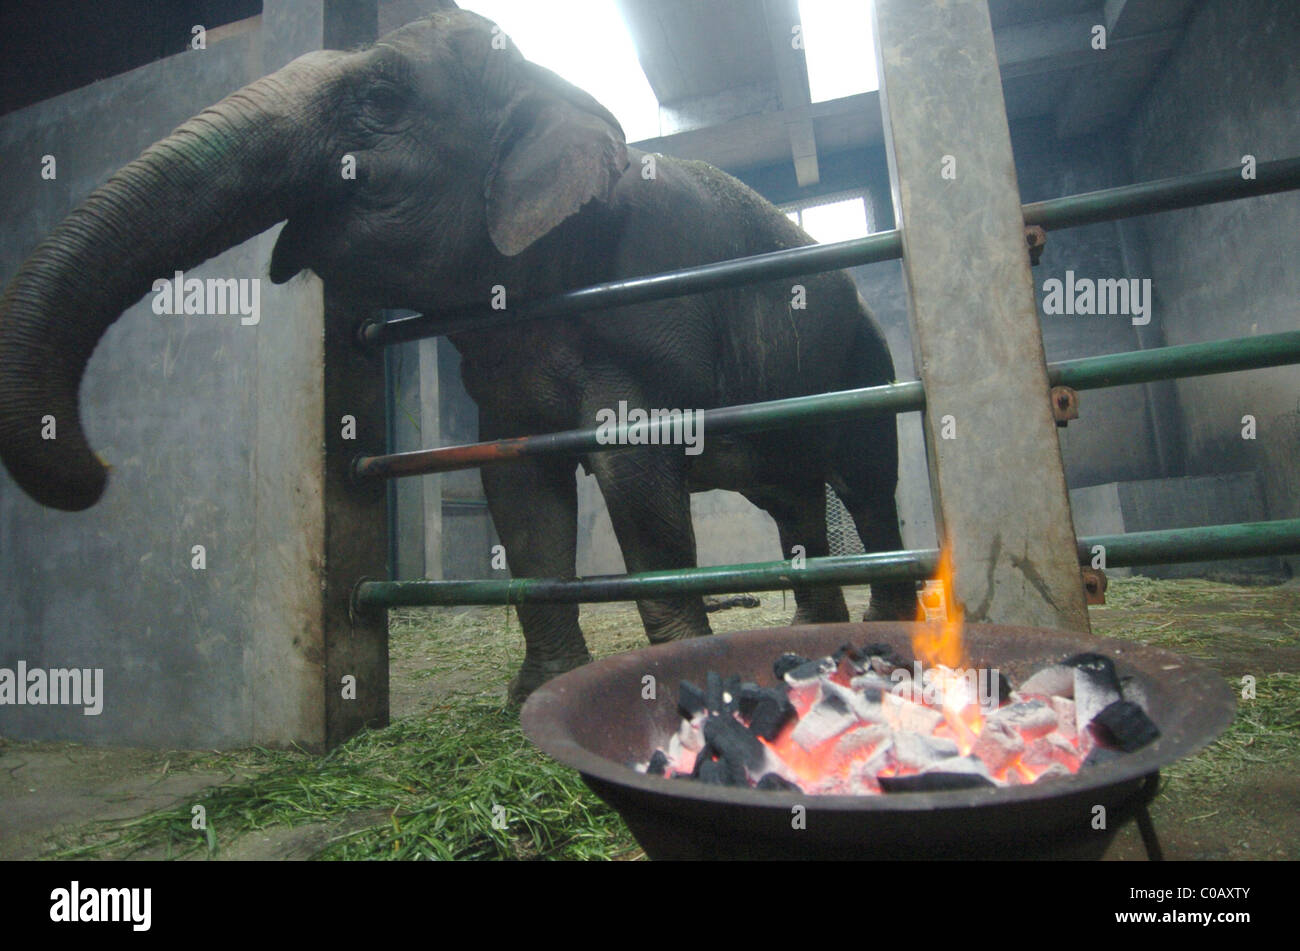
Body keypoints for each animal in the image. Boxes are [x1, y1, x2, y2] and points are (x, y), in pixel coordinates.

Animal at [0, 3, 915, 703]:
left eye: (380, 96)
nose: (101, 469)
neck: (551, 82)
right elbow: (520, 494)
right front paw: (538, 693)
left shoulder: (649, 311)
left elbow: (635, 481)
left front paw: (677, 676)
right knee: (793, 498)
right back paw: (814, 637)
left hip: (865, 364)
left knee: (867, 486)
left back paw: (889, 631)